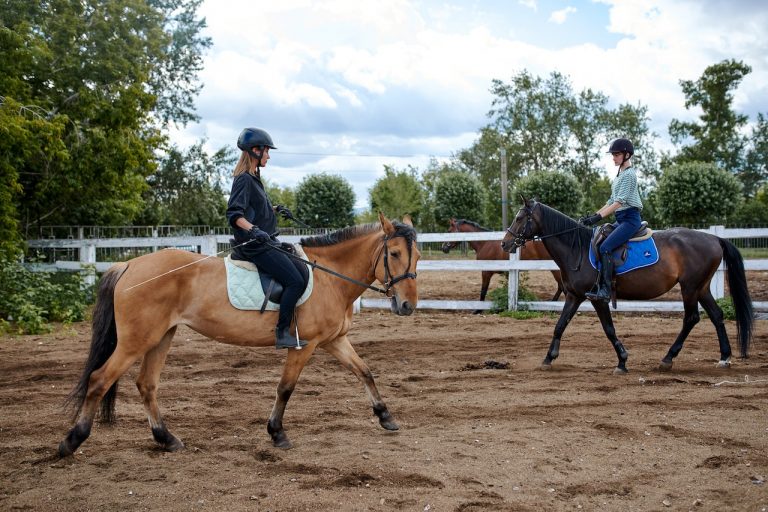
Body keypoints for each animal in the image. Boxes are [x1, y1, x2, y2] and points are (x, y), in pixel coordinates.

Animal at [58, 213, 420, 456]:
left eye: (417, 255)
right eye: (394, 254)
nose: (406, 306)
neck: (330, 277)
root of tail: (129, 265)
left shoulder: (333, 340)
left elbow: (365, 371)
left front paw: (386, 417)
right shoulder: (304, 345)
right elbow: (286, 388)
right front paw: (277, 433)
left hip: (162, 336)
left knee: (146, 384)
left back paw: (166, 439)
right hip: (137, 340)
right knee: (99, 380)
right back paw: (71, 441)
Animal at [501, 198, 753, 374]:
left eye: (520, 218)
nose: (505, 243)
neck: (577, 249)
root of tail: (714, 238)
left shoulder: (597, 298)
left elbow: (609, 329)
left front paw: (622, 361)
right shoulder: (574, 295)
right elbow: (560, 325)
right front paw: (548, 358)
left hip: (690, 288)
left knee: (691, 318)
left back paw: (668, 359)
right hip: (701, 287)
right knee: (717, 315)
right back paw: (724, 357)